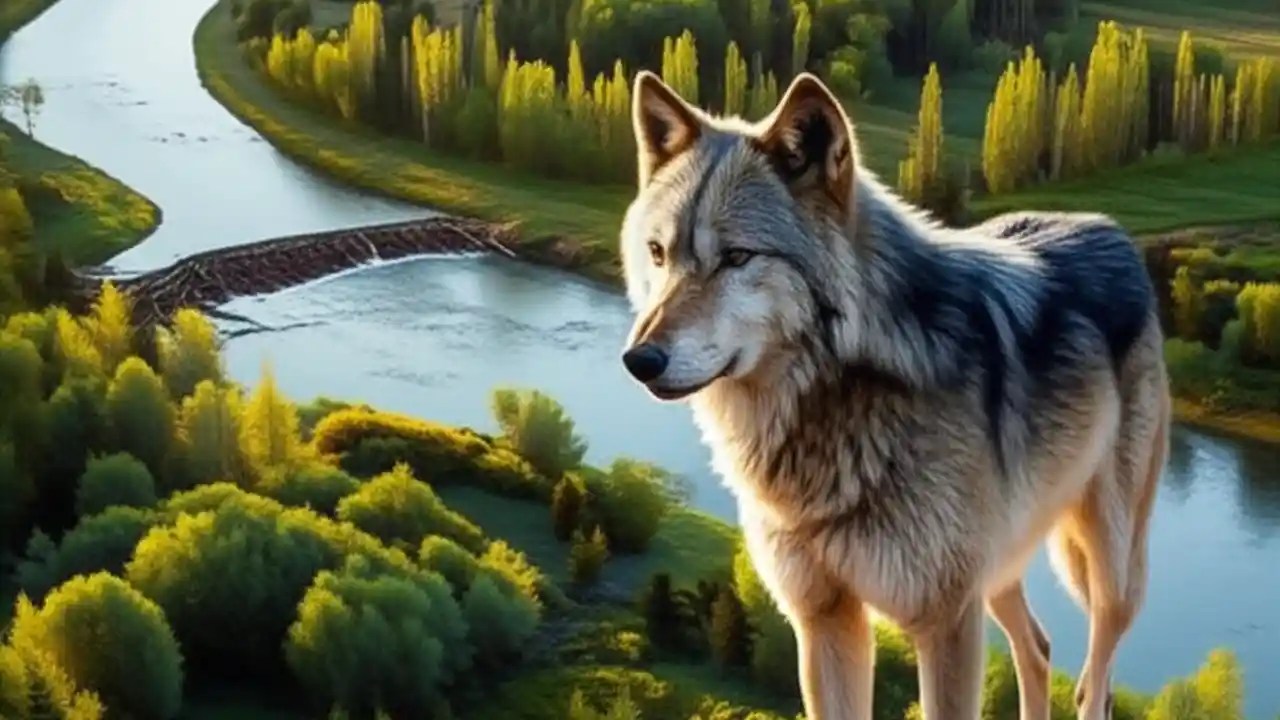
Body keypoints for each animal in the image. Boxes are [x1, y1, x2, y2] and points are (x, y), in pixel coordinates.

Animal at [616, 70, 1169, 720]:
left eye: (736, 257)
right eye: (658, 253)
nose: (639, 360)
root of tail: (1111, 229)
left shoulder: (946, 623)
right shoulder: (825, 621)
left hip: (1109, 567)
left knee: (1095, 680)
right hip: (1001, 567)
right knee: (1037, 647)